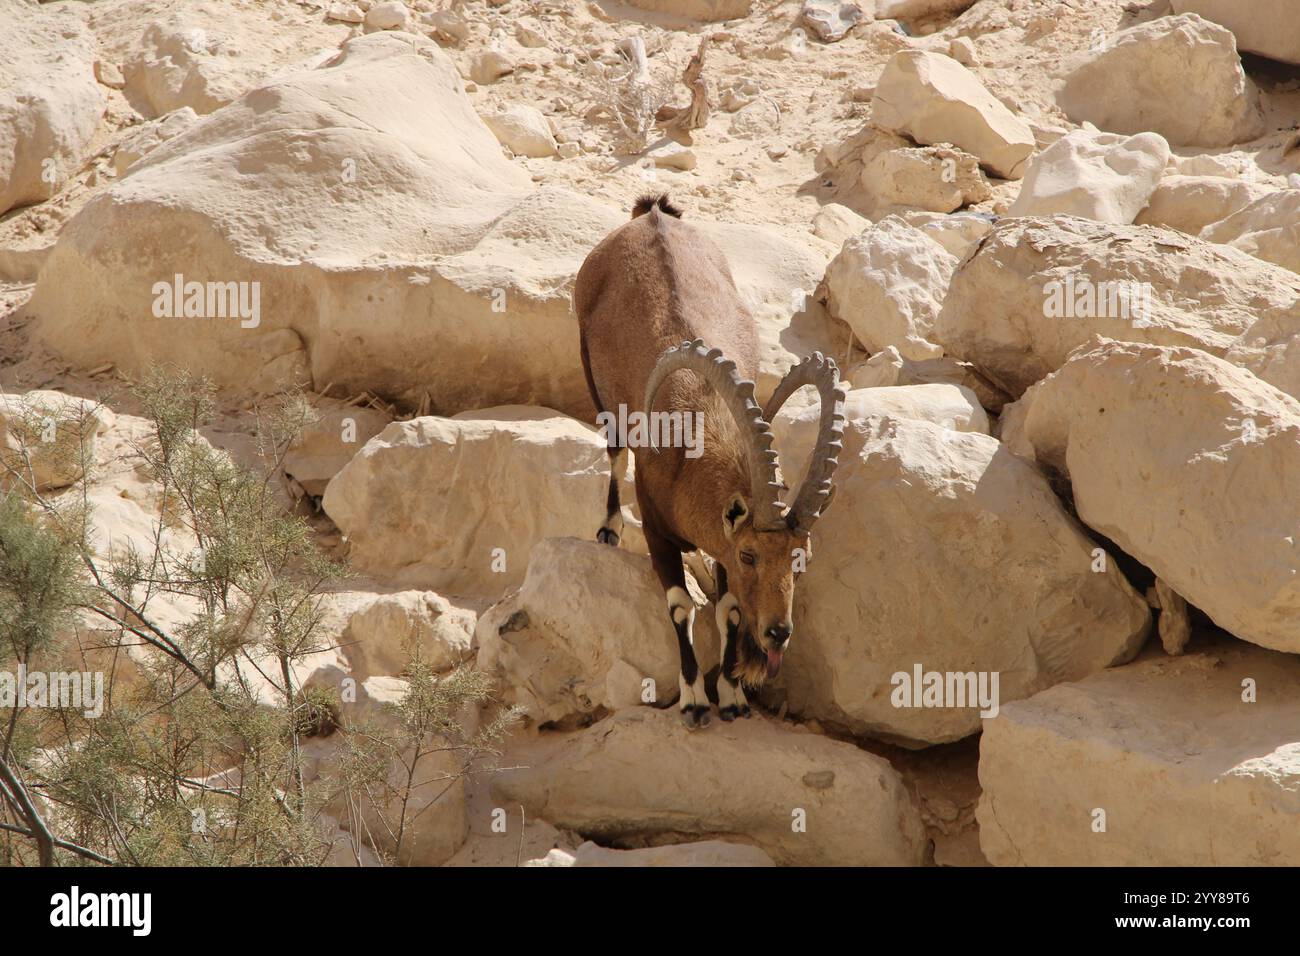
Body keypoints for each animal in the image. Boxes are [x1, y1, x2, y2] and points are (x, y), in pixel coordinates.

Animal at [574, 194, 845, 728]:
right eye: (749, 555)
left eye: (801, 557)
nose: (778, 634)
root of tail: (651, 214)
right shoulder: (657, 528)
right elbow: (681, 606)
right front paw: (695, 700)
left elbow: (730, 610)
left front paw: (734, 696)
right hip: (592, 374)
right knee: (613, 450)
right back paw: (609, 528)